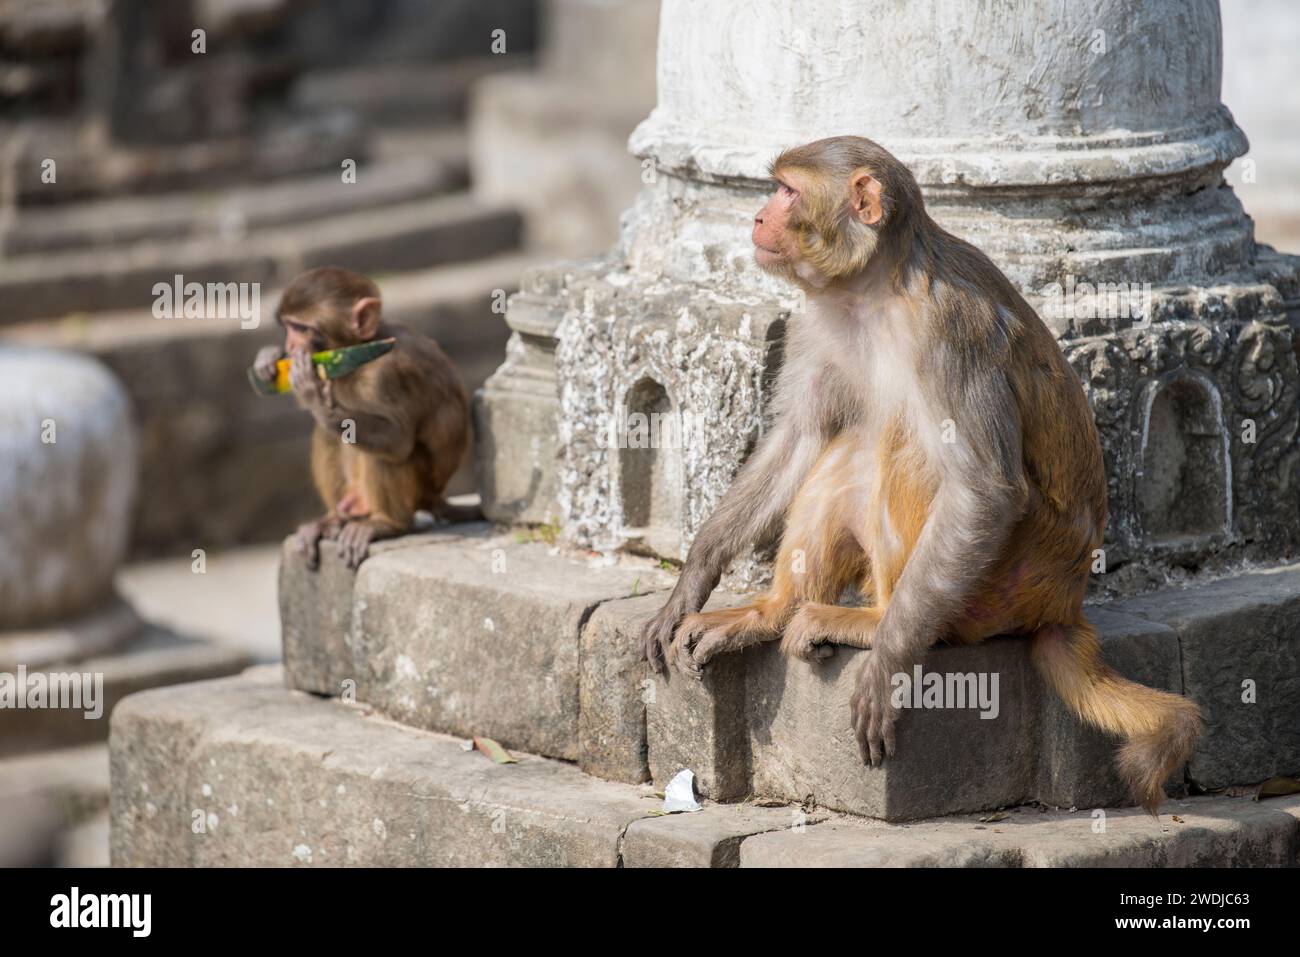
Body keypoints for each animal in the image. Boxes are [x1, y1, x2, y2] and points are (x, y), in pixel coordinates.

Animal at [252, 266, 473, 570]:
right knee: (328, 433)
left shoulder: (387, 374)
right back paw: (332, 520)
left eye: (302, 329)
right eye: (288, 327)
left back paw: (387, 524)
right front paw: (269, 358)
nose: (291, 345)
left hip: (418, 490)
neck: (363, 352)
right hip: (355, 495)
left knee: (387, 453)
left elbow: (398, 441)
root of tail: (436, 496)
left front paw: (315, 397)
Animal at [637, 136, 1200, 814]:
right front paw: (690, 582)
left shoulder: (947, 332)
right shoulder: (817, 319)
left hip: (1004, 585)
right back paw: (774, 612)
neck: (872, 292)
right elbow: (798, 438)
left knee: (905, 444)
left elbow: (984, 488)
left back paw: (873, 623)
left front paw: (888, 661)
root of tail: (1063, 605)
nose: (756, 217)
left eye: (788, 192)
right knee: (853, 444)